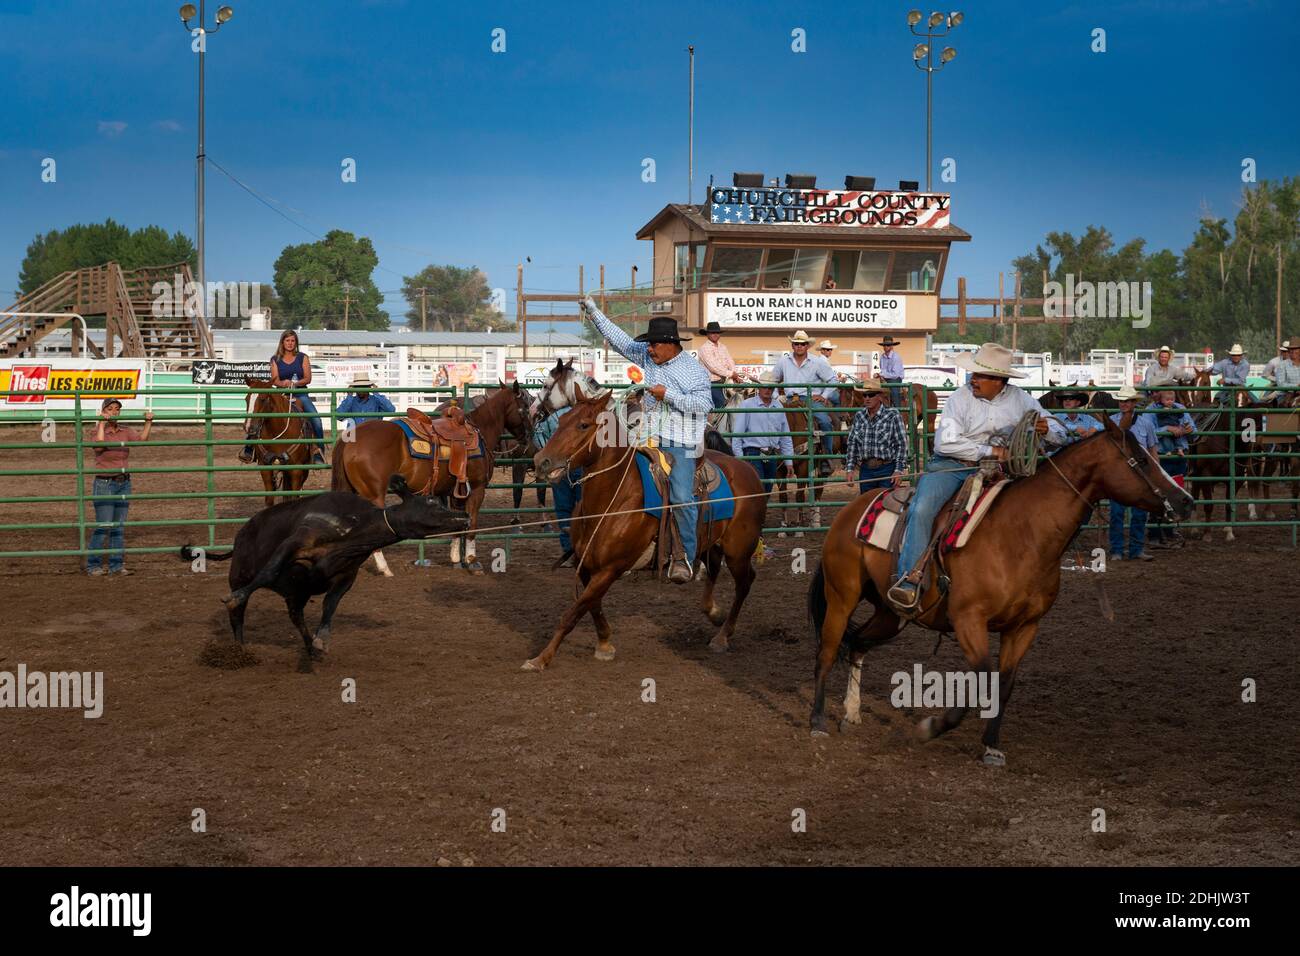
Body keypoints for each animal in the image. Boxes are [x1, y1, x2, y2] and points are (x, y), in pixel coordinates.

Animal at [181, 475, 468, 654]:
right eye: (431, 501)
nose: (463, 514)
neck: (356, 527)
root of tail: (241, 534)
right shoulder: (296, 542)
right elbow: (268, 572)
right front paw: (235, 598)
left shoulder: (346, 575)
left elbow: (330, 604)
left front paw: (322, 640)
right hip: (239, 574)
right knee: (238, 616)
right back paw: (239, 647)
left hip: (296, 593)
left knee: (296, 617)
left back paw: (309, 648)